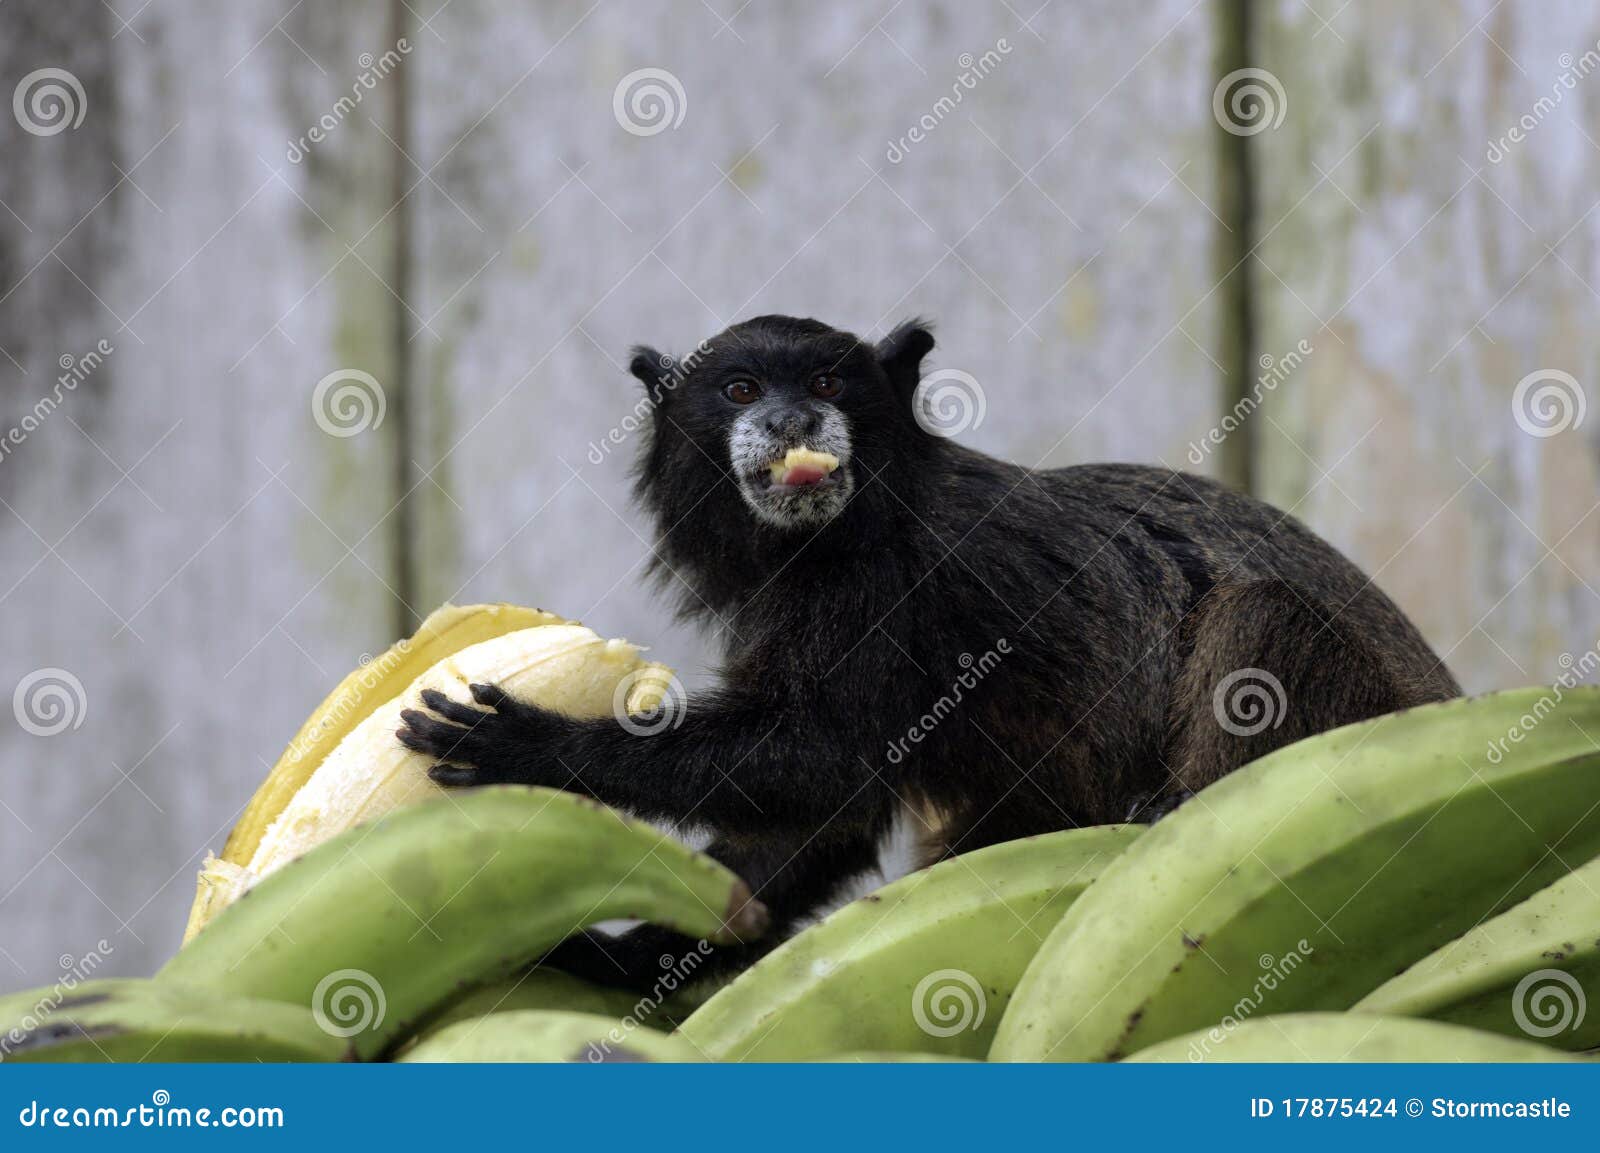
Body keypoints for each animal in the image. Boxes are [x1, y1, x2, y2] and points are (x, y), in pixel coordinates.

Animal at [397, 315, 1460, 992]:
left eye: (827, 384)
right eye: (741, 389)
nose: (791, 421)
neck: (851, 523)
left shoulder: (893, 587)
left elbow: (821, 756)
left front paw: (538, 747)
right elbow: (828, 808)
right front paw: (638, 957)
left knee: (1262, 612)